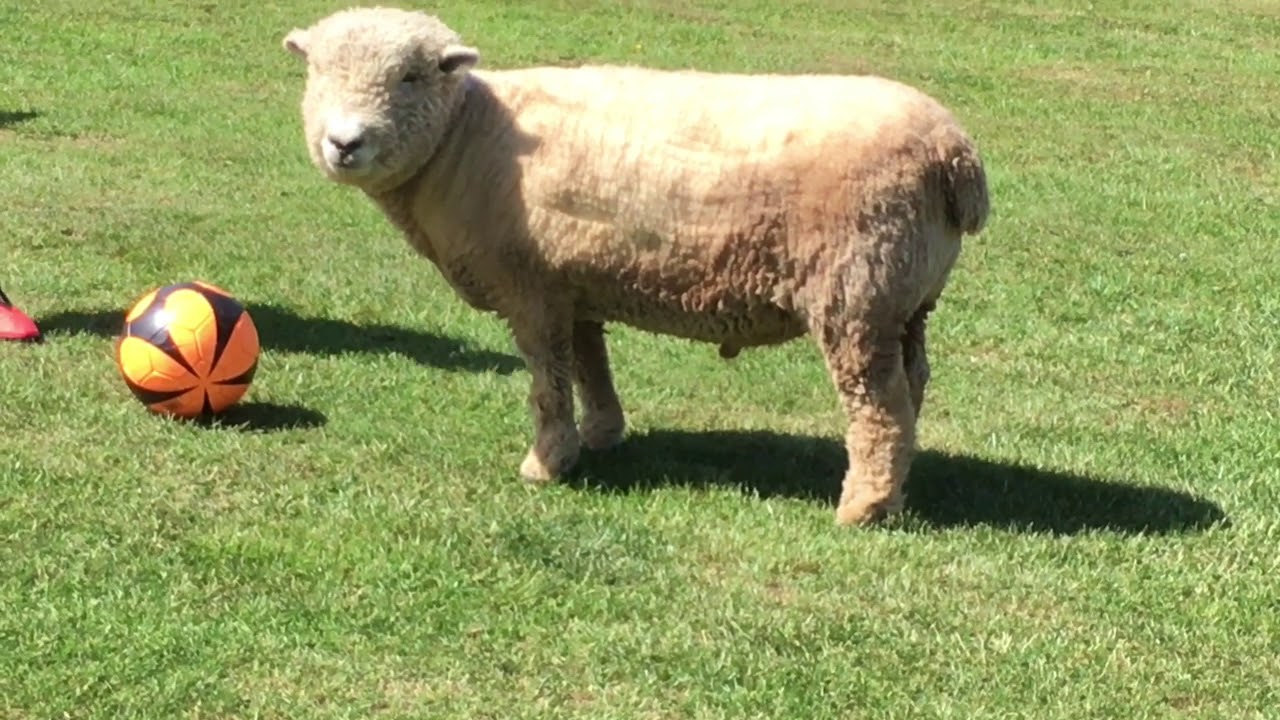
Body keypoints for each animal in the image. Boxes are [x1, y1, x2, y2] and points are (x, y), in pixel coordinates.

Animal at [281, 6, 990, 526]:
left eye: (410, 77)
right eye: (317, 73)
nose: (344, 143)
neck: (464, 136)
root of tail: (953, 155)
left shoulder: (530, 289)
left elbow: (547, 381)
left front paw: (547, 462)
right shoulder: (573, 284)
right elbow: (588, 364)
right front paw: (600, 433)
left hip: (856, 294)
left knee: (878, 407)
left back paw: (863, 507)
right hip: (907, 298)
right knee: (912, 385)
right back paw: (897, 486)